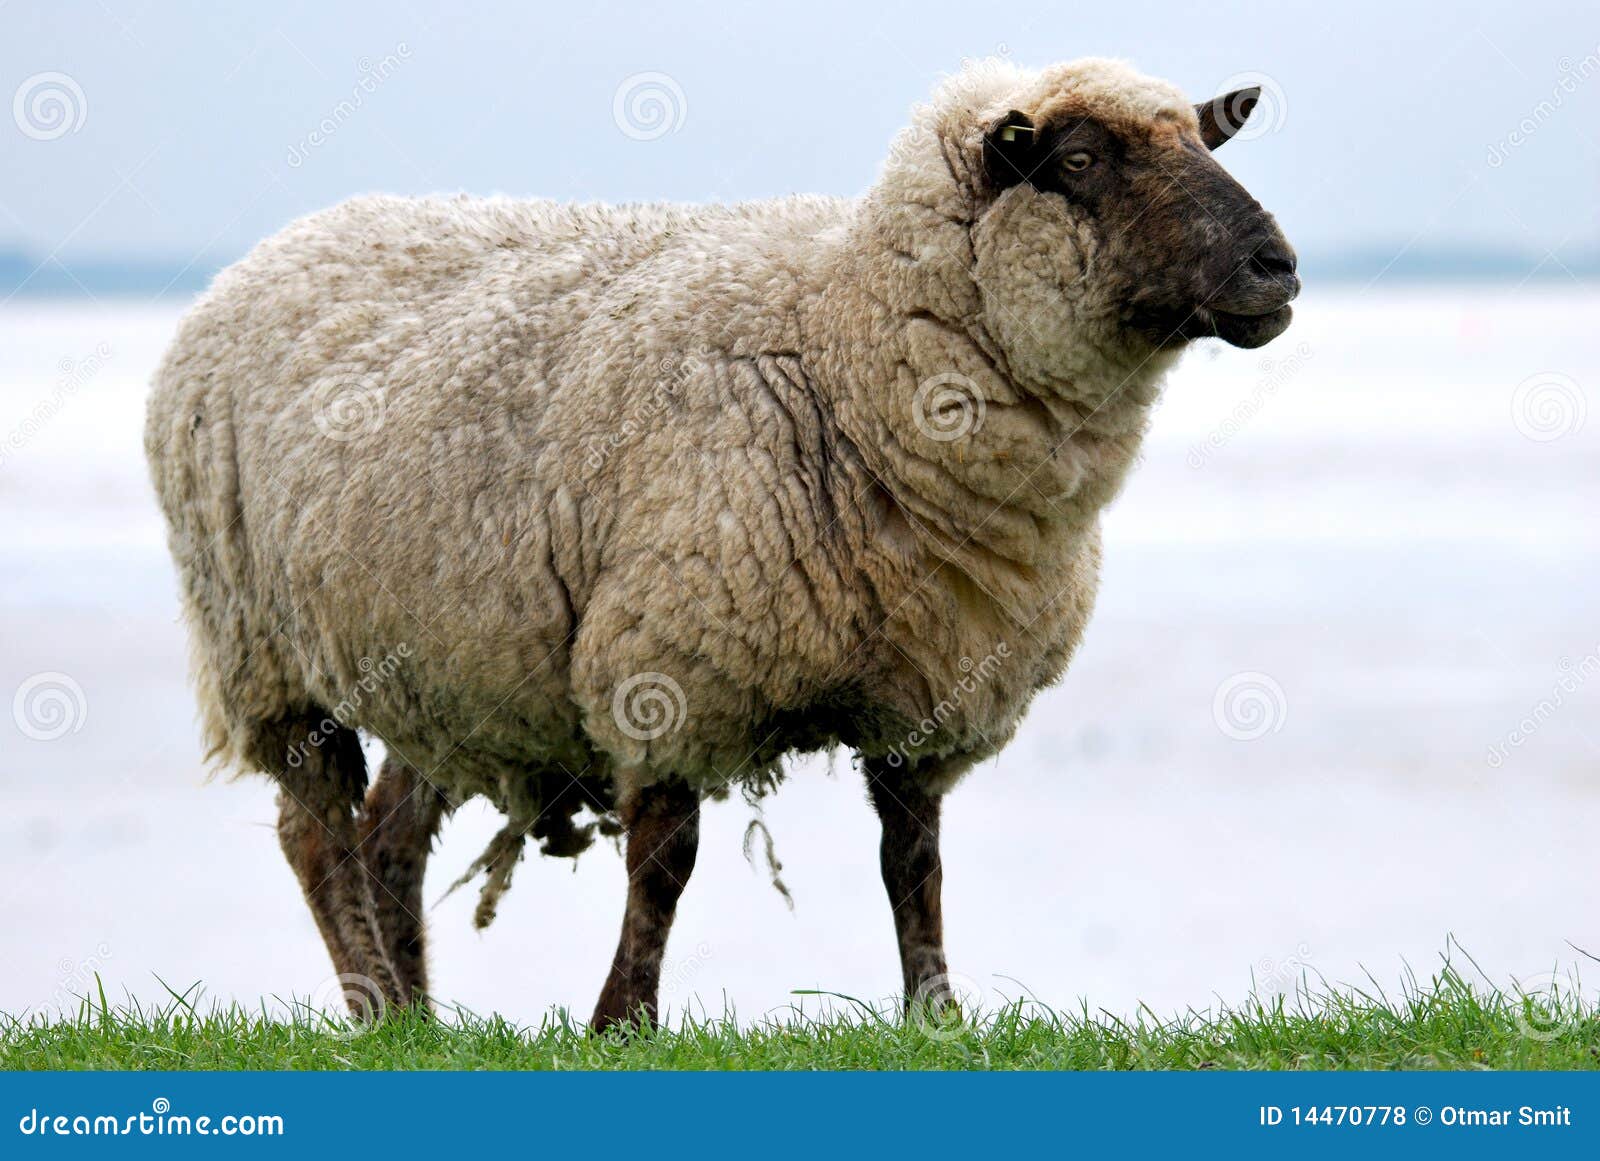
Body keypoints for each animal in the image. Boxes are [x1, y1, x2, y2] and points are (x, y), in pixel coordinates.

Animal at [144, 56, 1298, 1030]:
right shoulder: (673, 659)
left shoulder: (931, 690)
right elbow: (666, 861)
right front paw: (621, 1022)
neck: (840, 357)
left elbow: (912, 862)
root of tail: (271, 250)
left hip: (445, 660)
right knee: (313, 835)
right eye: (1079, 162)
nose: (1275, 268)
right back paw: (373, 1006)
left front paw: (937, 1016)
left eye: (1199, 141)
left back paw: (420, 1021)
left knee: (388, 833)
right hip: (264, 651)